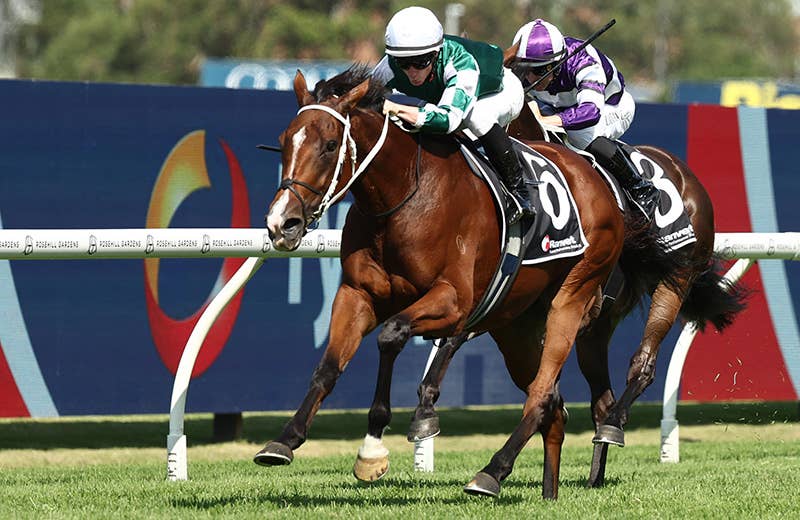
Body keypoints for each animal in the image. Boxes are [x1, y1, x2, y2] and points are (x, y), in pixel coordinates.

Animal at [256, 64, 635, 499]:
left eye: (331, 145)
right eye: (284, 142)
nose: (282, 223)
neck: (403, 196)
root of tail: (596, 177)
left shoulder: (453, 302)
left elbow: (391, 335)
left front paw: (374, 446)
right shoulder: (357, 294)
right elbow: (329, 366)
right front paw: (285, 439)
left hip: (572, 295)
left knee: (542, 394)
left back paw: (491, 472)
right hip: (516, 326)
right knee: (554, 407)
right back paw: (547, 491)